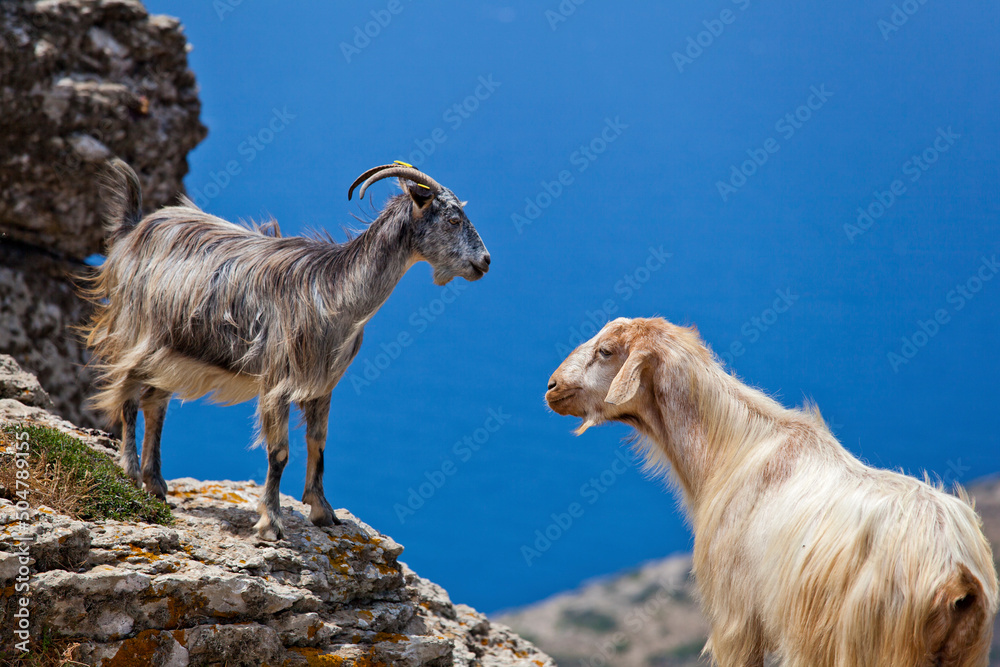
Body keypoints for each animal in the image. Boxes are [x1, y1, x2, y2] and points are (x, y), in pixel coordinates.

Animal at [83, 160, 490, 540]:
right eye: (453, 219)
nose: (485, 261)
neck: (335, 292)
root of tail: (132, 230)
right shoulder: (277, 381)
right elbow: (279, 453)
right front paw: (270, 523)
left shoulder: (323, 382)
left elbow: (318, 442)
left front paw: (323, 511)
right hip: (139, 332)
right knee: (127, 389)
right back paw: (131, 470)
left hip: (174, 354)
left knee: (155, 403)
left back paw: (155, 483)